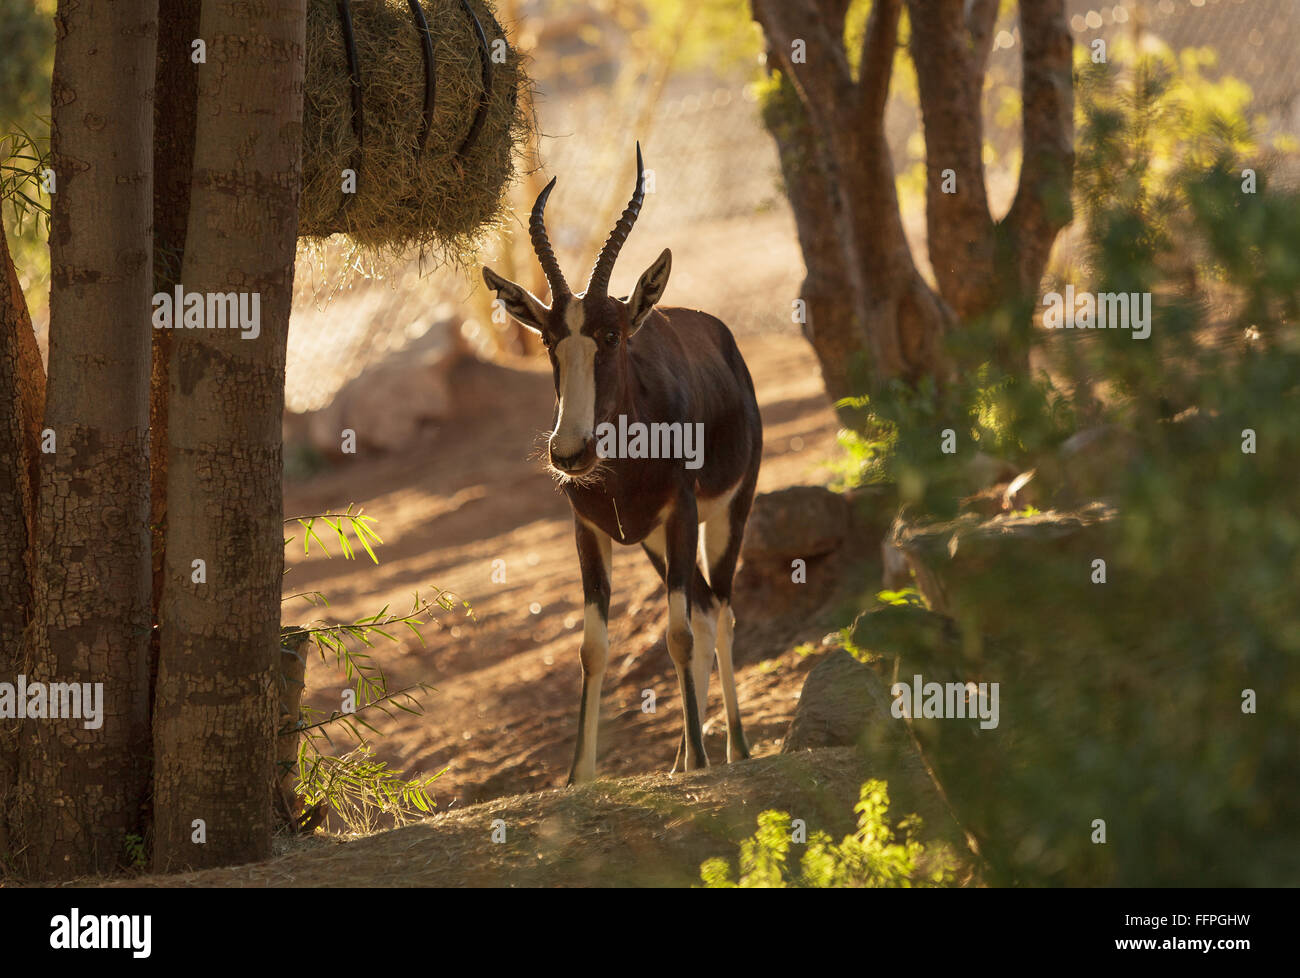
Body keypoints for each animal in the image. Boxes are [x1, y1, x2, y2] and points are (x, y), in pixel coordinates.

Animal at [482, 145, 762, 784]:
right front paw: (577, 777)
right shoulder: (589, 531)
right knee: (703, 608)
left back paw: (730, 750)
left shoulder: (682, 514)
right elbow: (593, 647)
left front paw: (704, 762)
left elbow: (678, 635)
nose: (570, 453)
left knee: (720, 611)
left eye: (611, 336)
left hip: (725, 516)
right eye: (550, 340)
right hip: (656, 543)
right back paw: (683, 756)